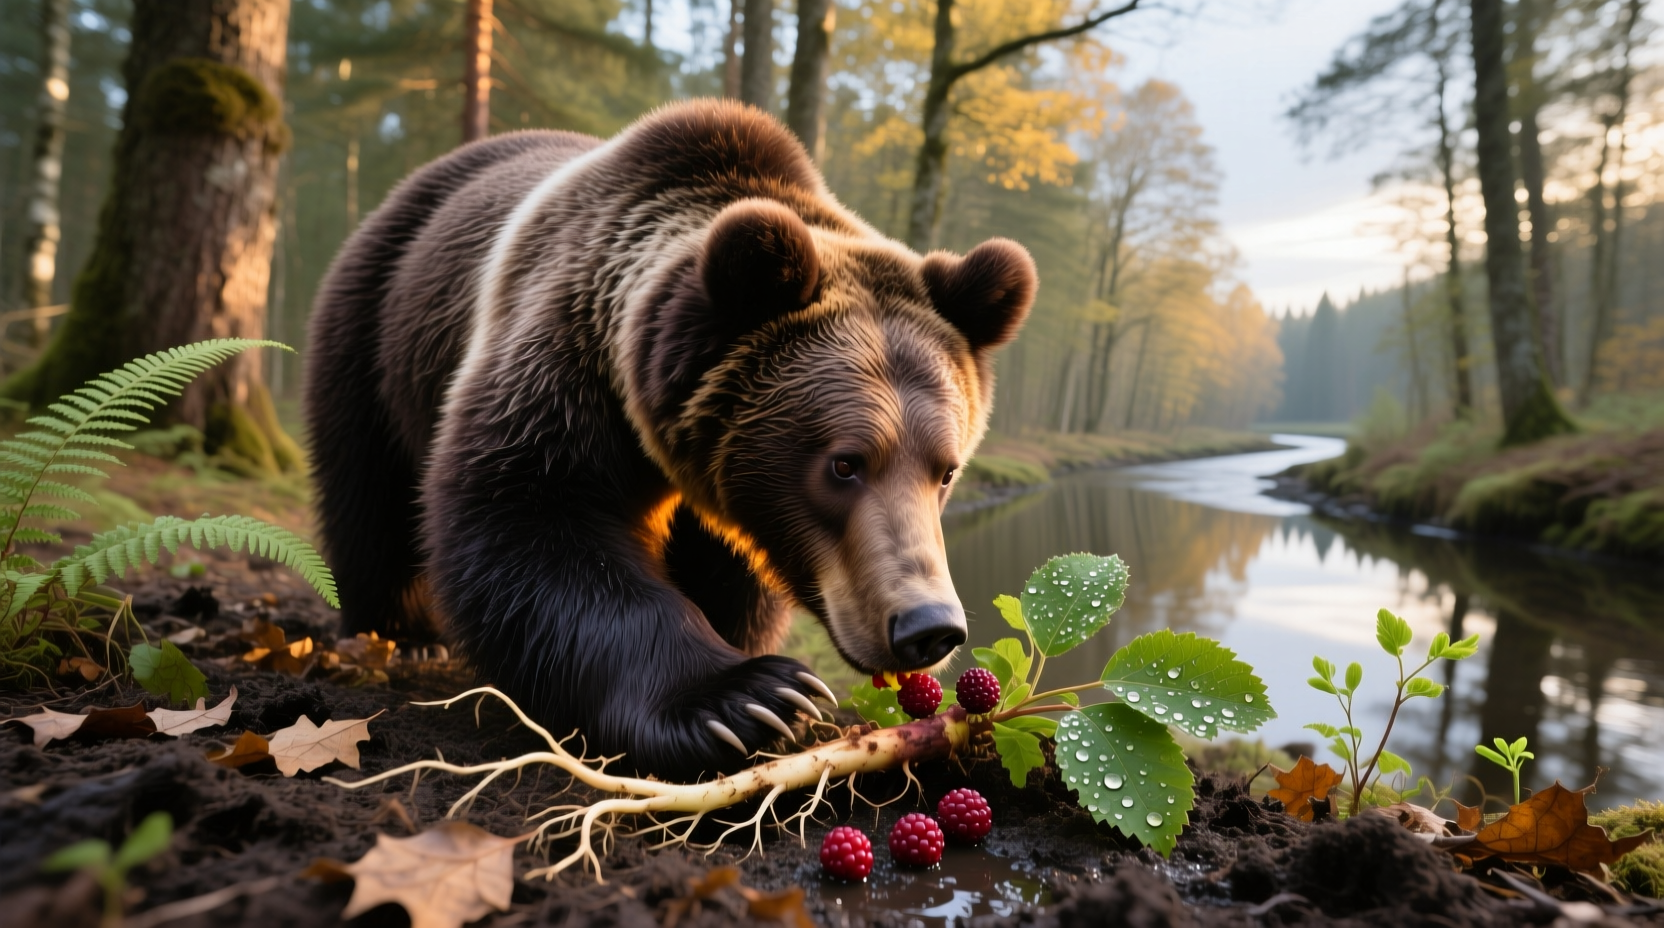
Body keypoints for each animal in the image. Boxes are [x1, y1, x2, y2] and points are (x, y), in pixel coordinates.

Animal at [303, 100, 1036, 779]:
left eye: (945, 470)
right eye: (846, 464)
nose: (927, 626)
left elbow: (733, 581)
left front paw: (754, 666)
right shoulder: (561, 375)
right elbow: (529, 519)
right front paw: (749, 698)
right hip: (378, 326)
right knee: (368, 490)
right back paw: (400, 634)